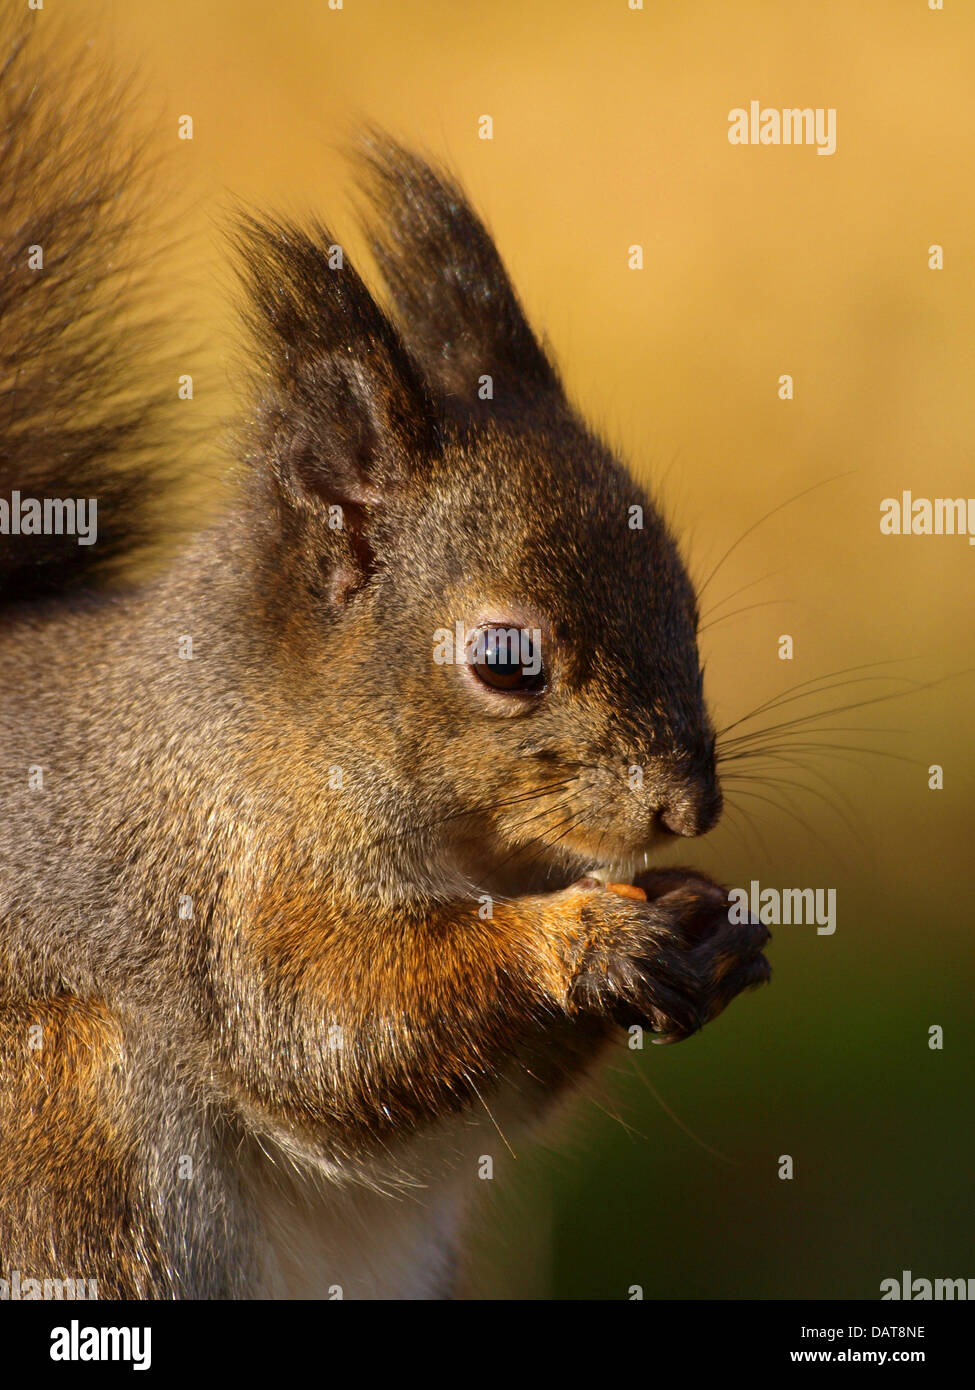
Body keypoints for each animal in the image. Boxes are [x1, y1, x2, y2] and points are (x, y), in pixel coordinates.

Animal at [0, 10, 770, 1299]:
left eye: (689, 605)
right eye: (506, 659)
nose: (686, 805)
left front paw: (706, 920)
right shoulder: (222, 882)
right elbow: (329, 1029)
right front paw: (583, 938)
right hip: (66, 1132)